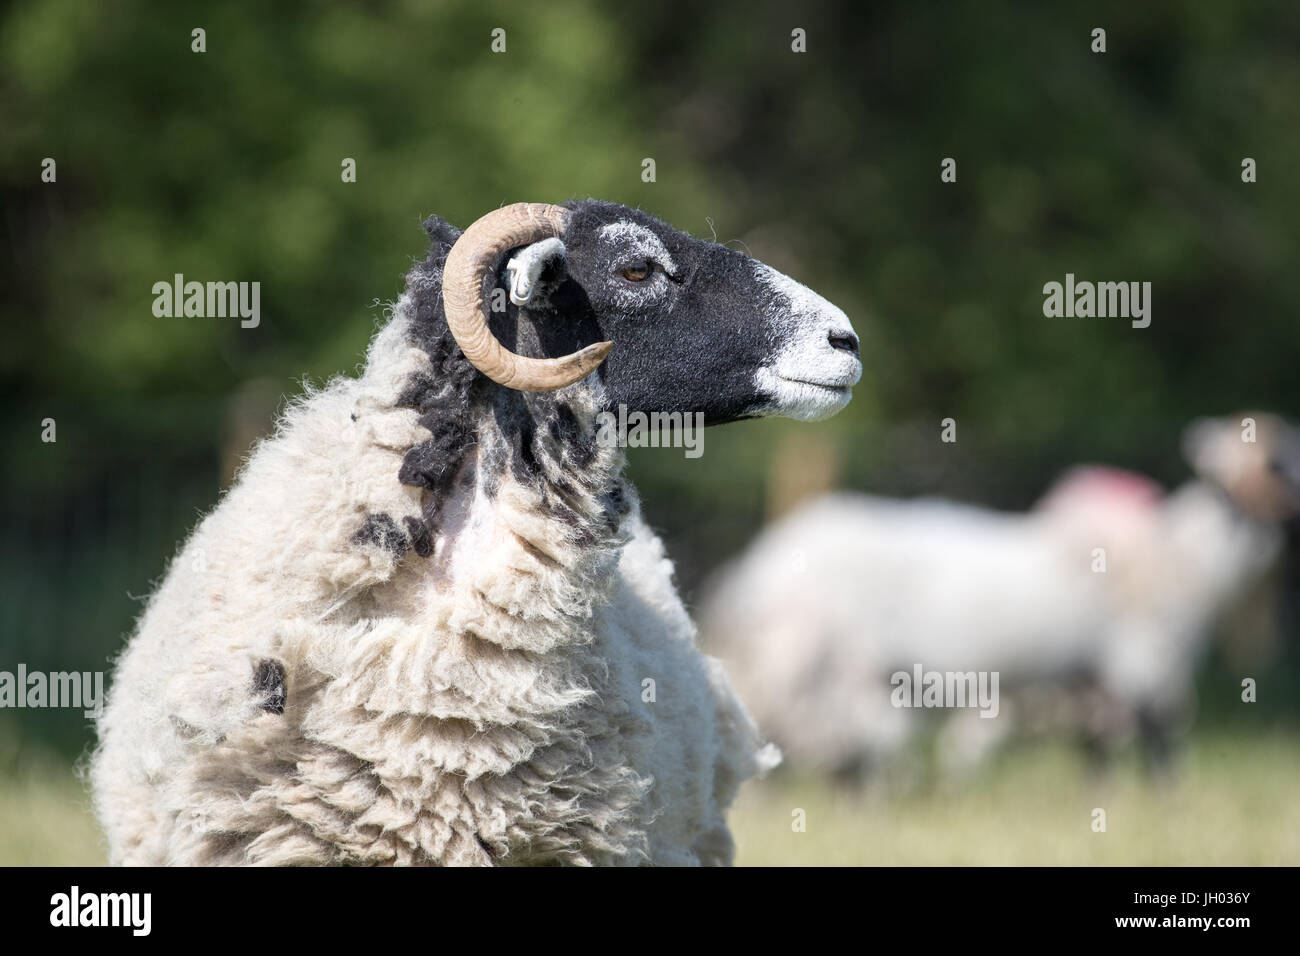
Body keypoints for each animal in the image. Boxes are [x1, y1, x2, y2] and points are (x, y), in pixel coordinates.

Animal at [700, 413, 1298, 779]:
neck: (1181, 560)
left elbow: (1100, 759)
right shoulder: (1145, 665)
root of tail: (772, 552)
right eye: (1275, 462)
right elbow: (1163, 752)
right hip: (804, 655)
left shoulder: (1094, 683)